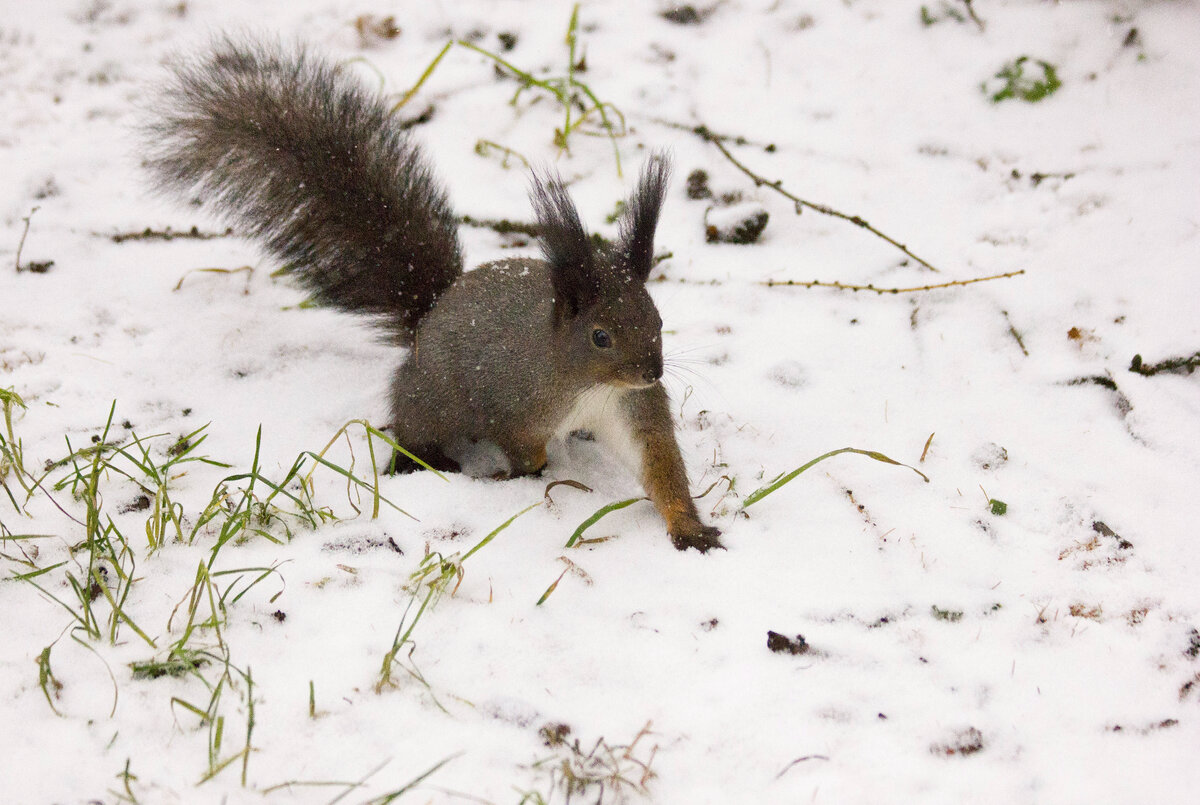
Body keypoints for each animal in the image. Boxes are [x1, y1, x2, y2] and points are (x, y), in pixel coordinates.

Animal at [140, 37, 720, 554]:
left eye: (658, 320)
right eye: (600, 336)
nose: (652, 373)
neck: (589, 385)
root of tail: (428, 317)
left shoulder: (630, 409)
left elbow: (660, 467)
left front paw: (690, 529)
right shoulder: (517, 403)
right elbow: (526, 455)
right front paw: (514, 478)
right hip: (435, 398)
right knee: (413, 426)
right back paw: (418, 461)